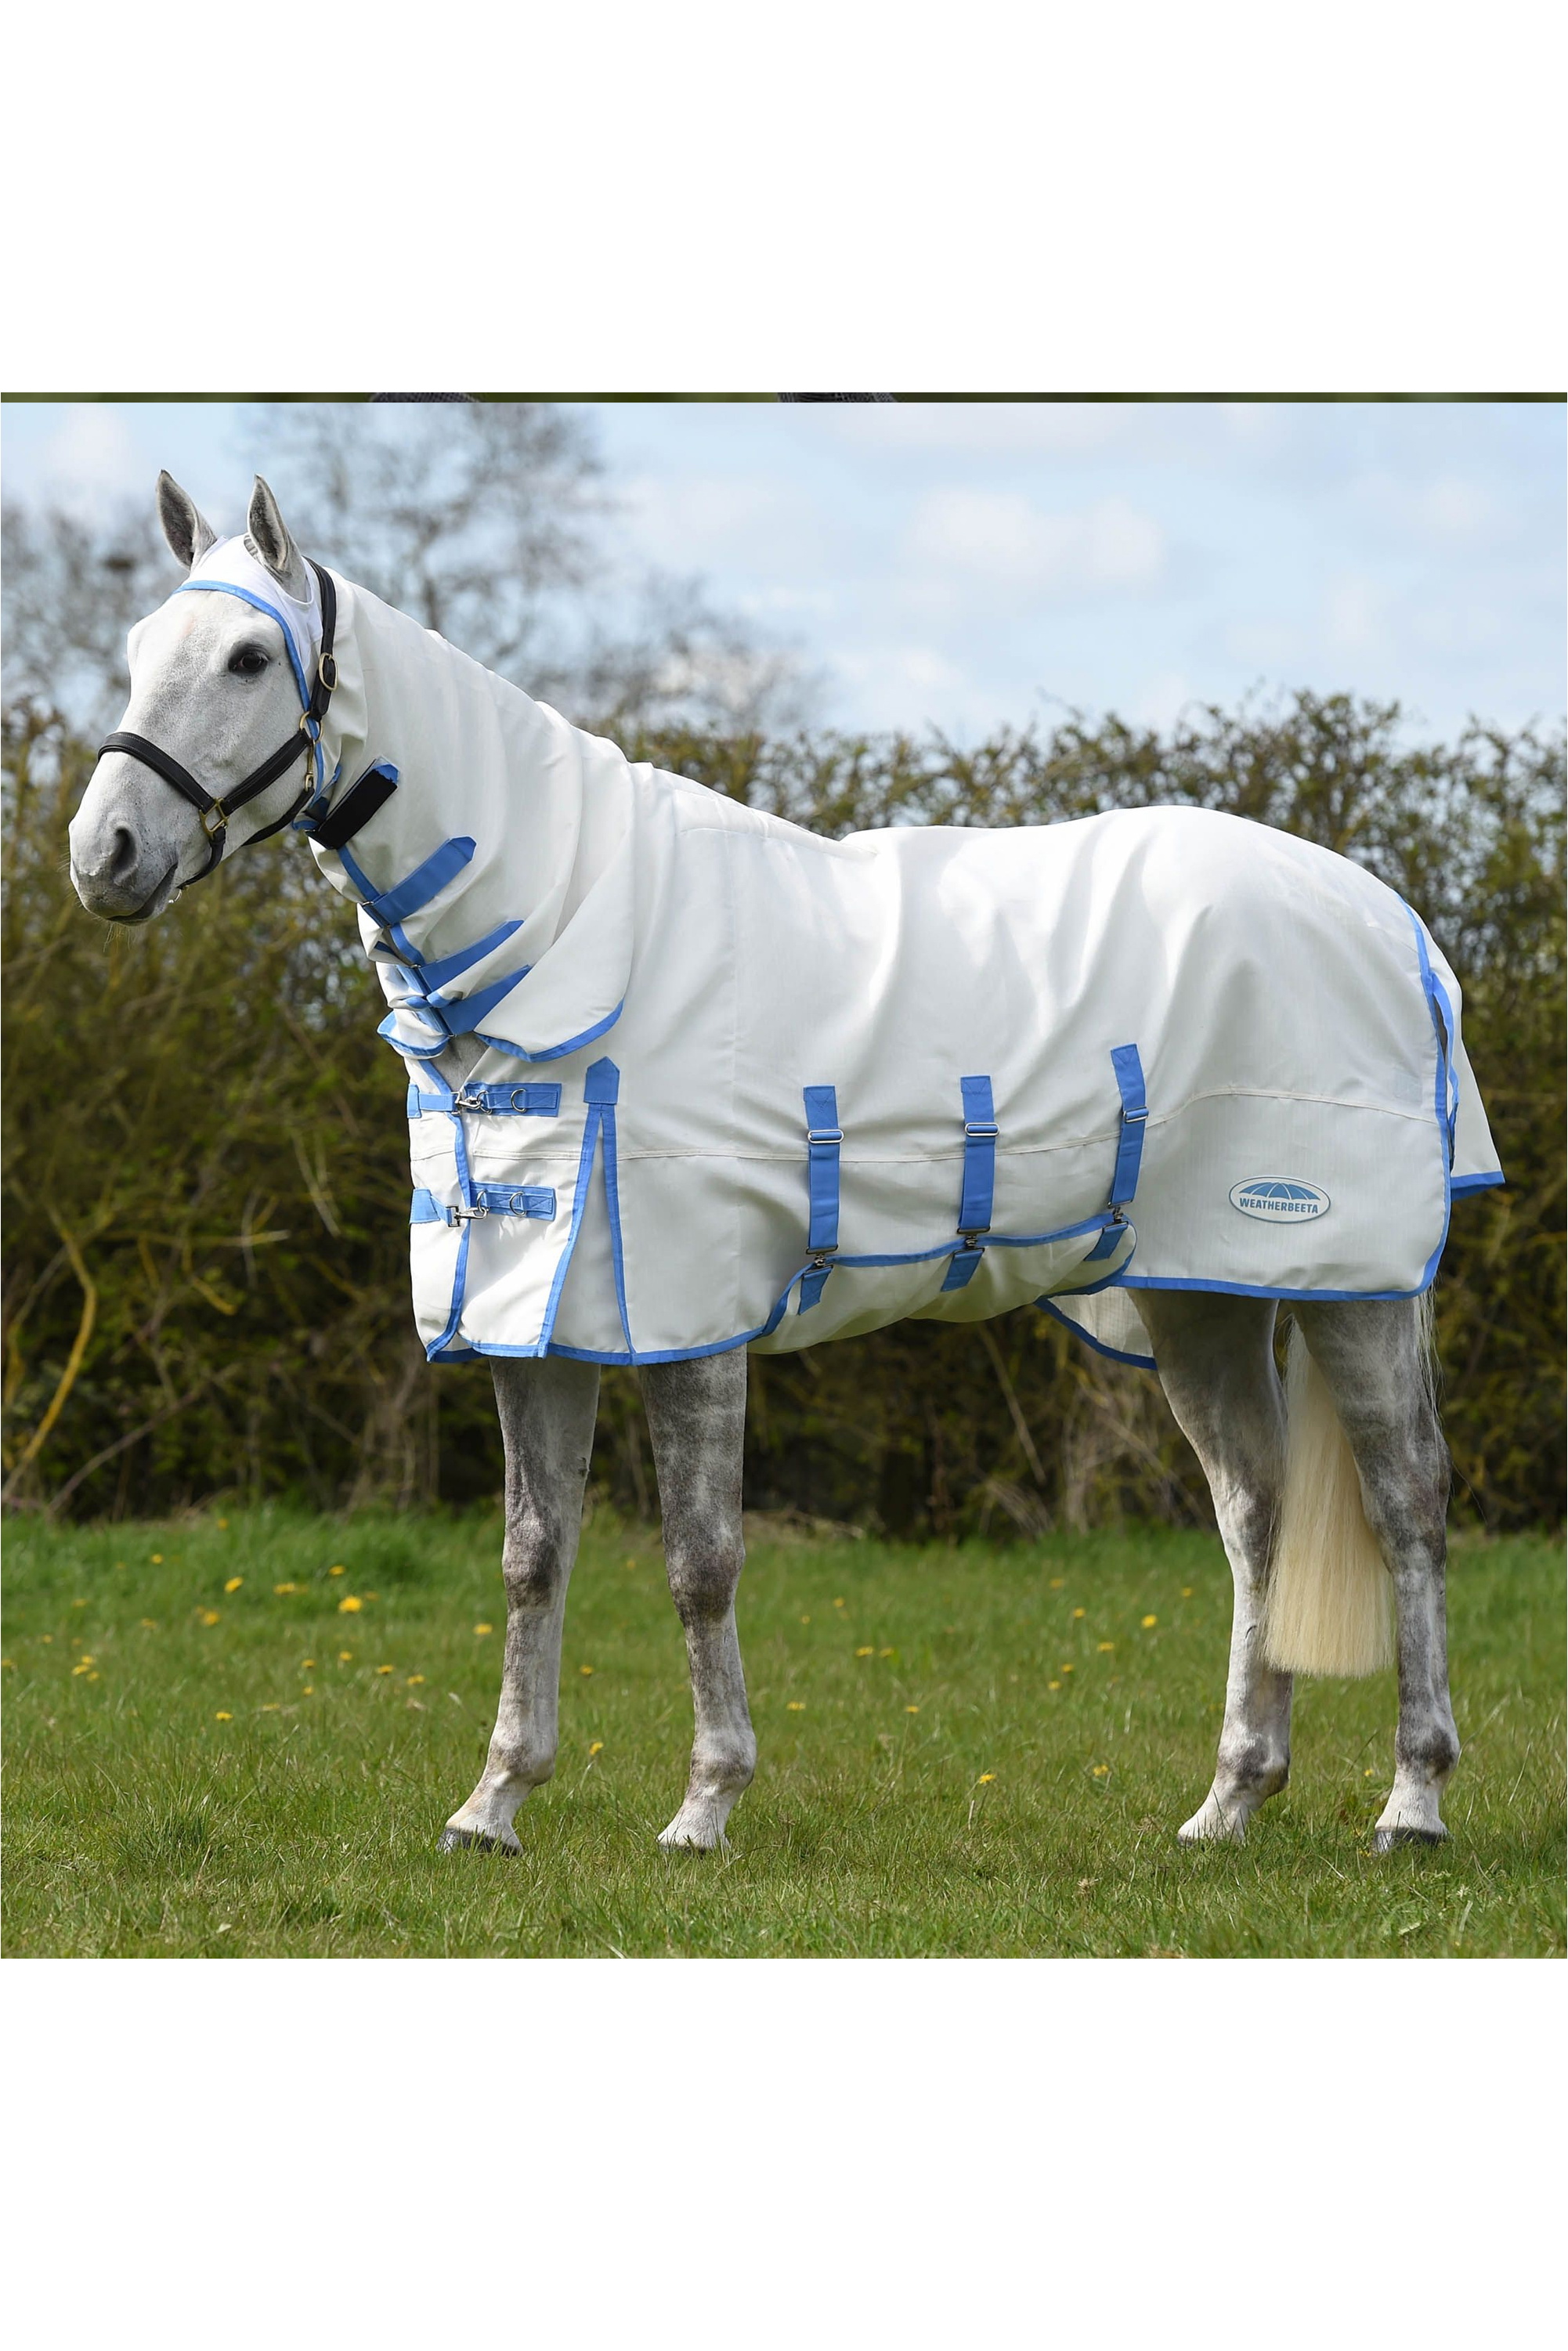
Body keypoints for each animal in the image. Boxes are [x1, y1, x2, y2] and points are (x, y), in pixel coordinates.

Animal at [67, 469, 1496, 1859]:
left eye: (250, 656)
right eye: (137, 649)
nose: (104, 857)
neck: (568, 928)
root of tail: (1385, 917)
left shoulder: (686, 1322)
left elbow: (700, 1559)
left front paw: (704, 1806)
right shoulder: (540, 1316)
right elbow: (533, 1554)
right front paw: (494, 1805)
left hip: (1357, 1290)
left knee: (1407, 1505)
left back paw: (1412, 1802)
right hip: (1202, 1296)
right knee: (1255, 1515)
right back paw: (1228, 1803)